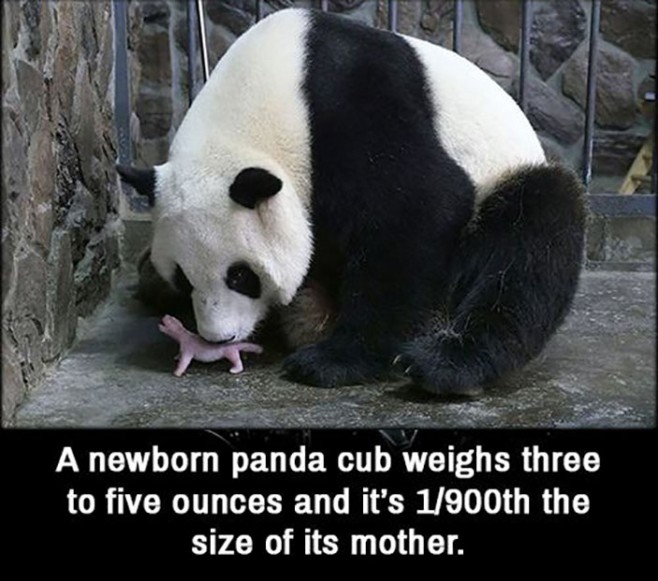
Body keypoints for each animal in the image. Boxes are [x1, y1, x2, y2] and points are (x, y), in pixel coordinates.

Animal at [118, 8, 586, 394]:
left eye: (240, 276)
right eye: (184, 278)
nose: (220, 339)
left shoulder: (349, 103)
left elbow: (419, 208)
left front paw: (332, 362)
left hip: (505, 182)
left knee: (533, 238)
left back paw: (445, 366)